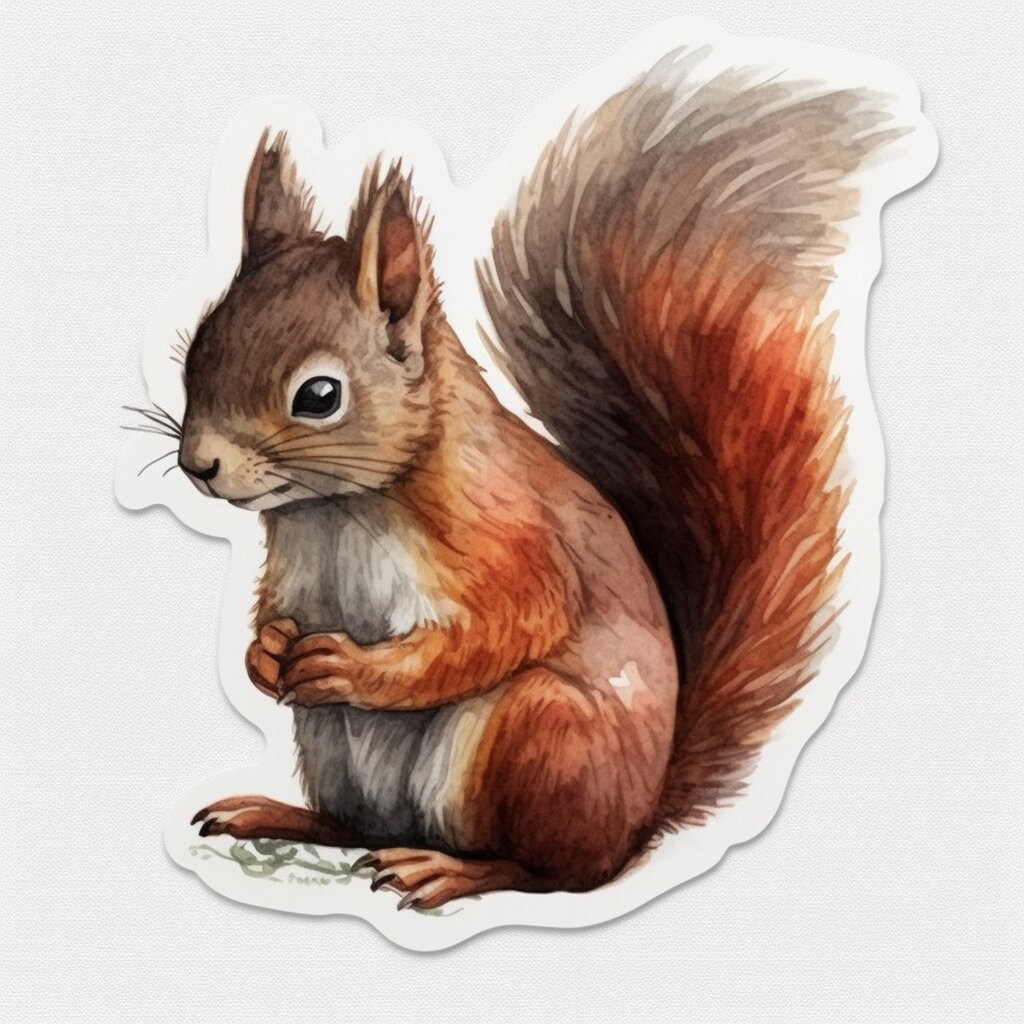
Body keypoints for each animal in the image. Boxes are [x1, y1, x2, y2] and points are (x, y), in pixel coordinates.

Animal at [177, 51, 900, 910]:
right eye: (196, 348)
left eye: (318, 396)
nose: (197, 463)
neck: (336, 510)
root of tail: (635, 826)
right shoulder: (291, 567)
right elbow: (272, 619)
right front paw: (264, 655)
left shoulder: (510, 541)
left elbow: (500, 630)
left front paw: (350, 666)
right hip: (334, 749)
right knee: (356, 825)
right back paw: (276, 813)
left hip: (535, 732)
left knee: (548, 873)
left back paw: (447, 868)